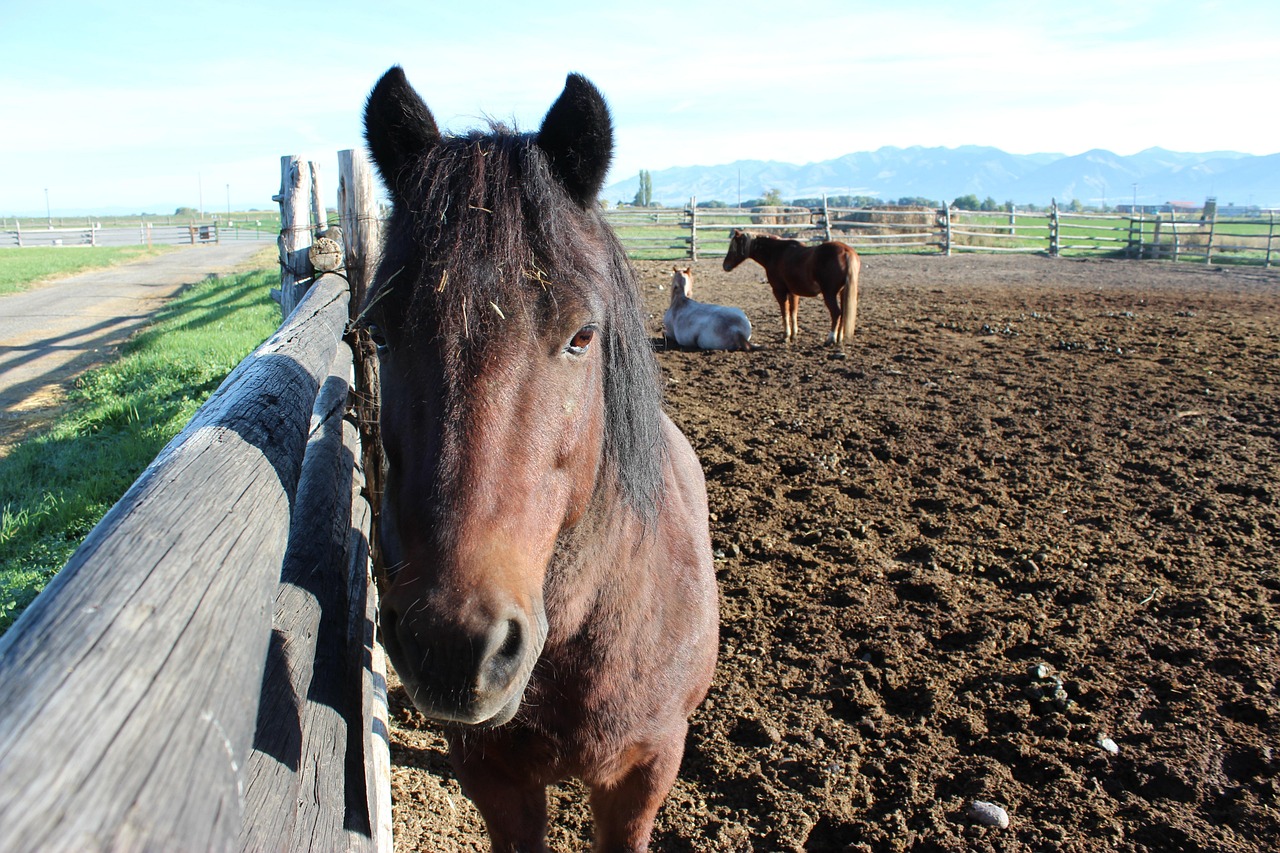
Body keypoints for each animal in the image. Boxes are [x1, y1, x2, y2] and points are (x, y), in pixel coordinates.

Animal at [722, 229, 861, 344]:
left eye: (733, 247)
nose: (725, 265)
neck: (776, 253)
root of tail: (846, 252)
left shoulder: (779, 291)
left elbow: (785, 312)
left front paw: (786, 336)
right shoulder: (793, 292)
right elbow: (793, 312)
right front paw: (794, 335)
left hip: (829, 293)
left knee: (836, 313)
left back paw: (831, 339)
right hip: (843, 293)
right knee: (843, 313)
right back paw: (839, 338)